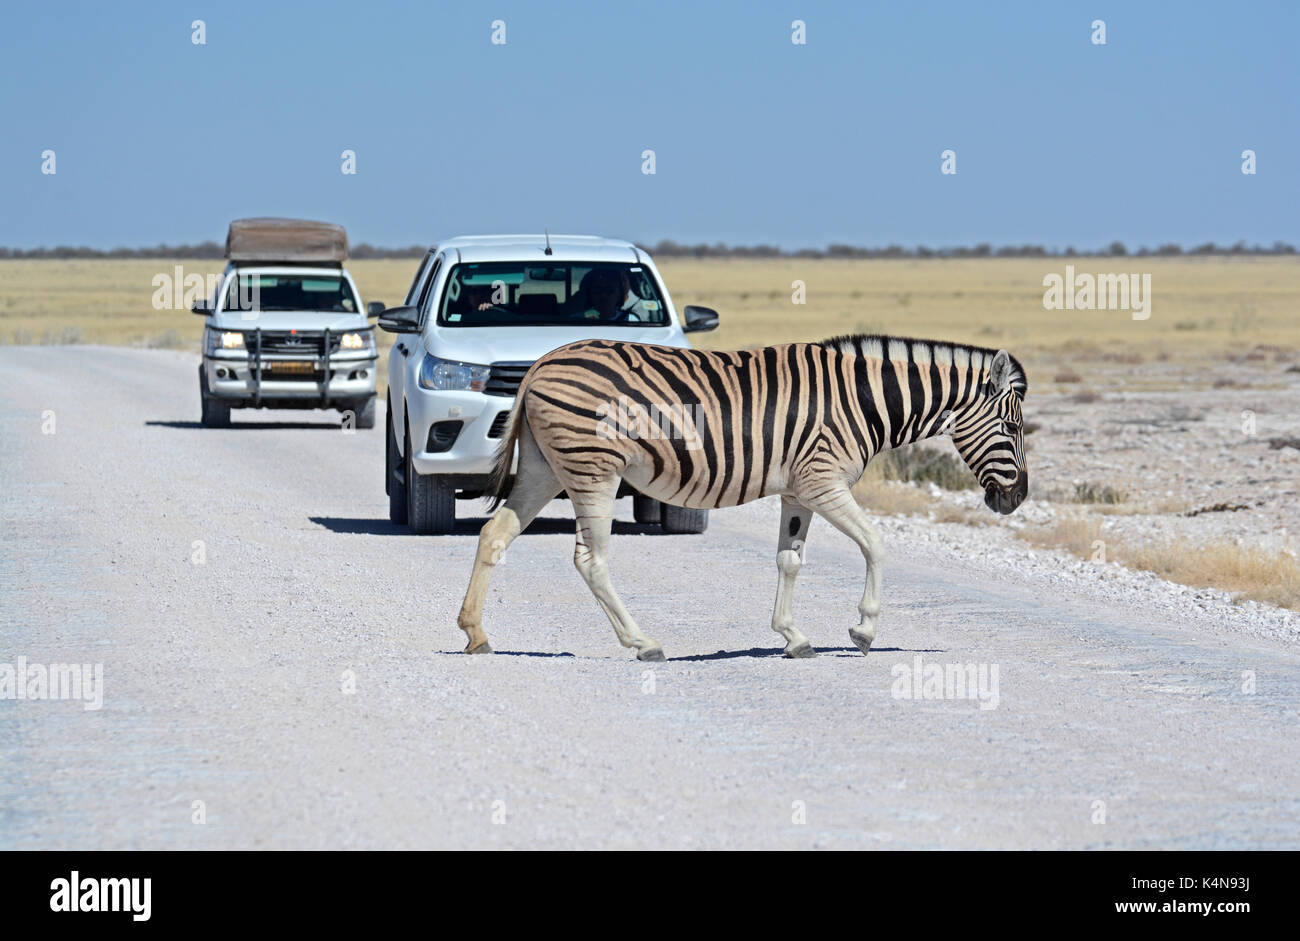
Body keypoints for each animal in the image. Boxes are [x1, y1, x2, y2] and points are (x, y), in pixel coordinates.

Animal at [456, 334, 1028, 660]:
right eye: (1012, 426)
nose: (1018, 499)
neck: (863, 400)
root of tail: (541, 362)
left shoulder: (798, 490)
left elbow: (789, 560)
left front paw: (793, 637)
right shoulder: (823, 481)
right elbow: (875, 542)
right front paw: (863, 629)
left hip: (544, 467)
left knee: (495, 533)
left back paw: (476, 633)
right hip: (593, 468)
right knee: (590, 559)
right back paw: (644, 644)